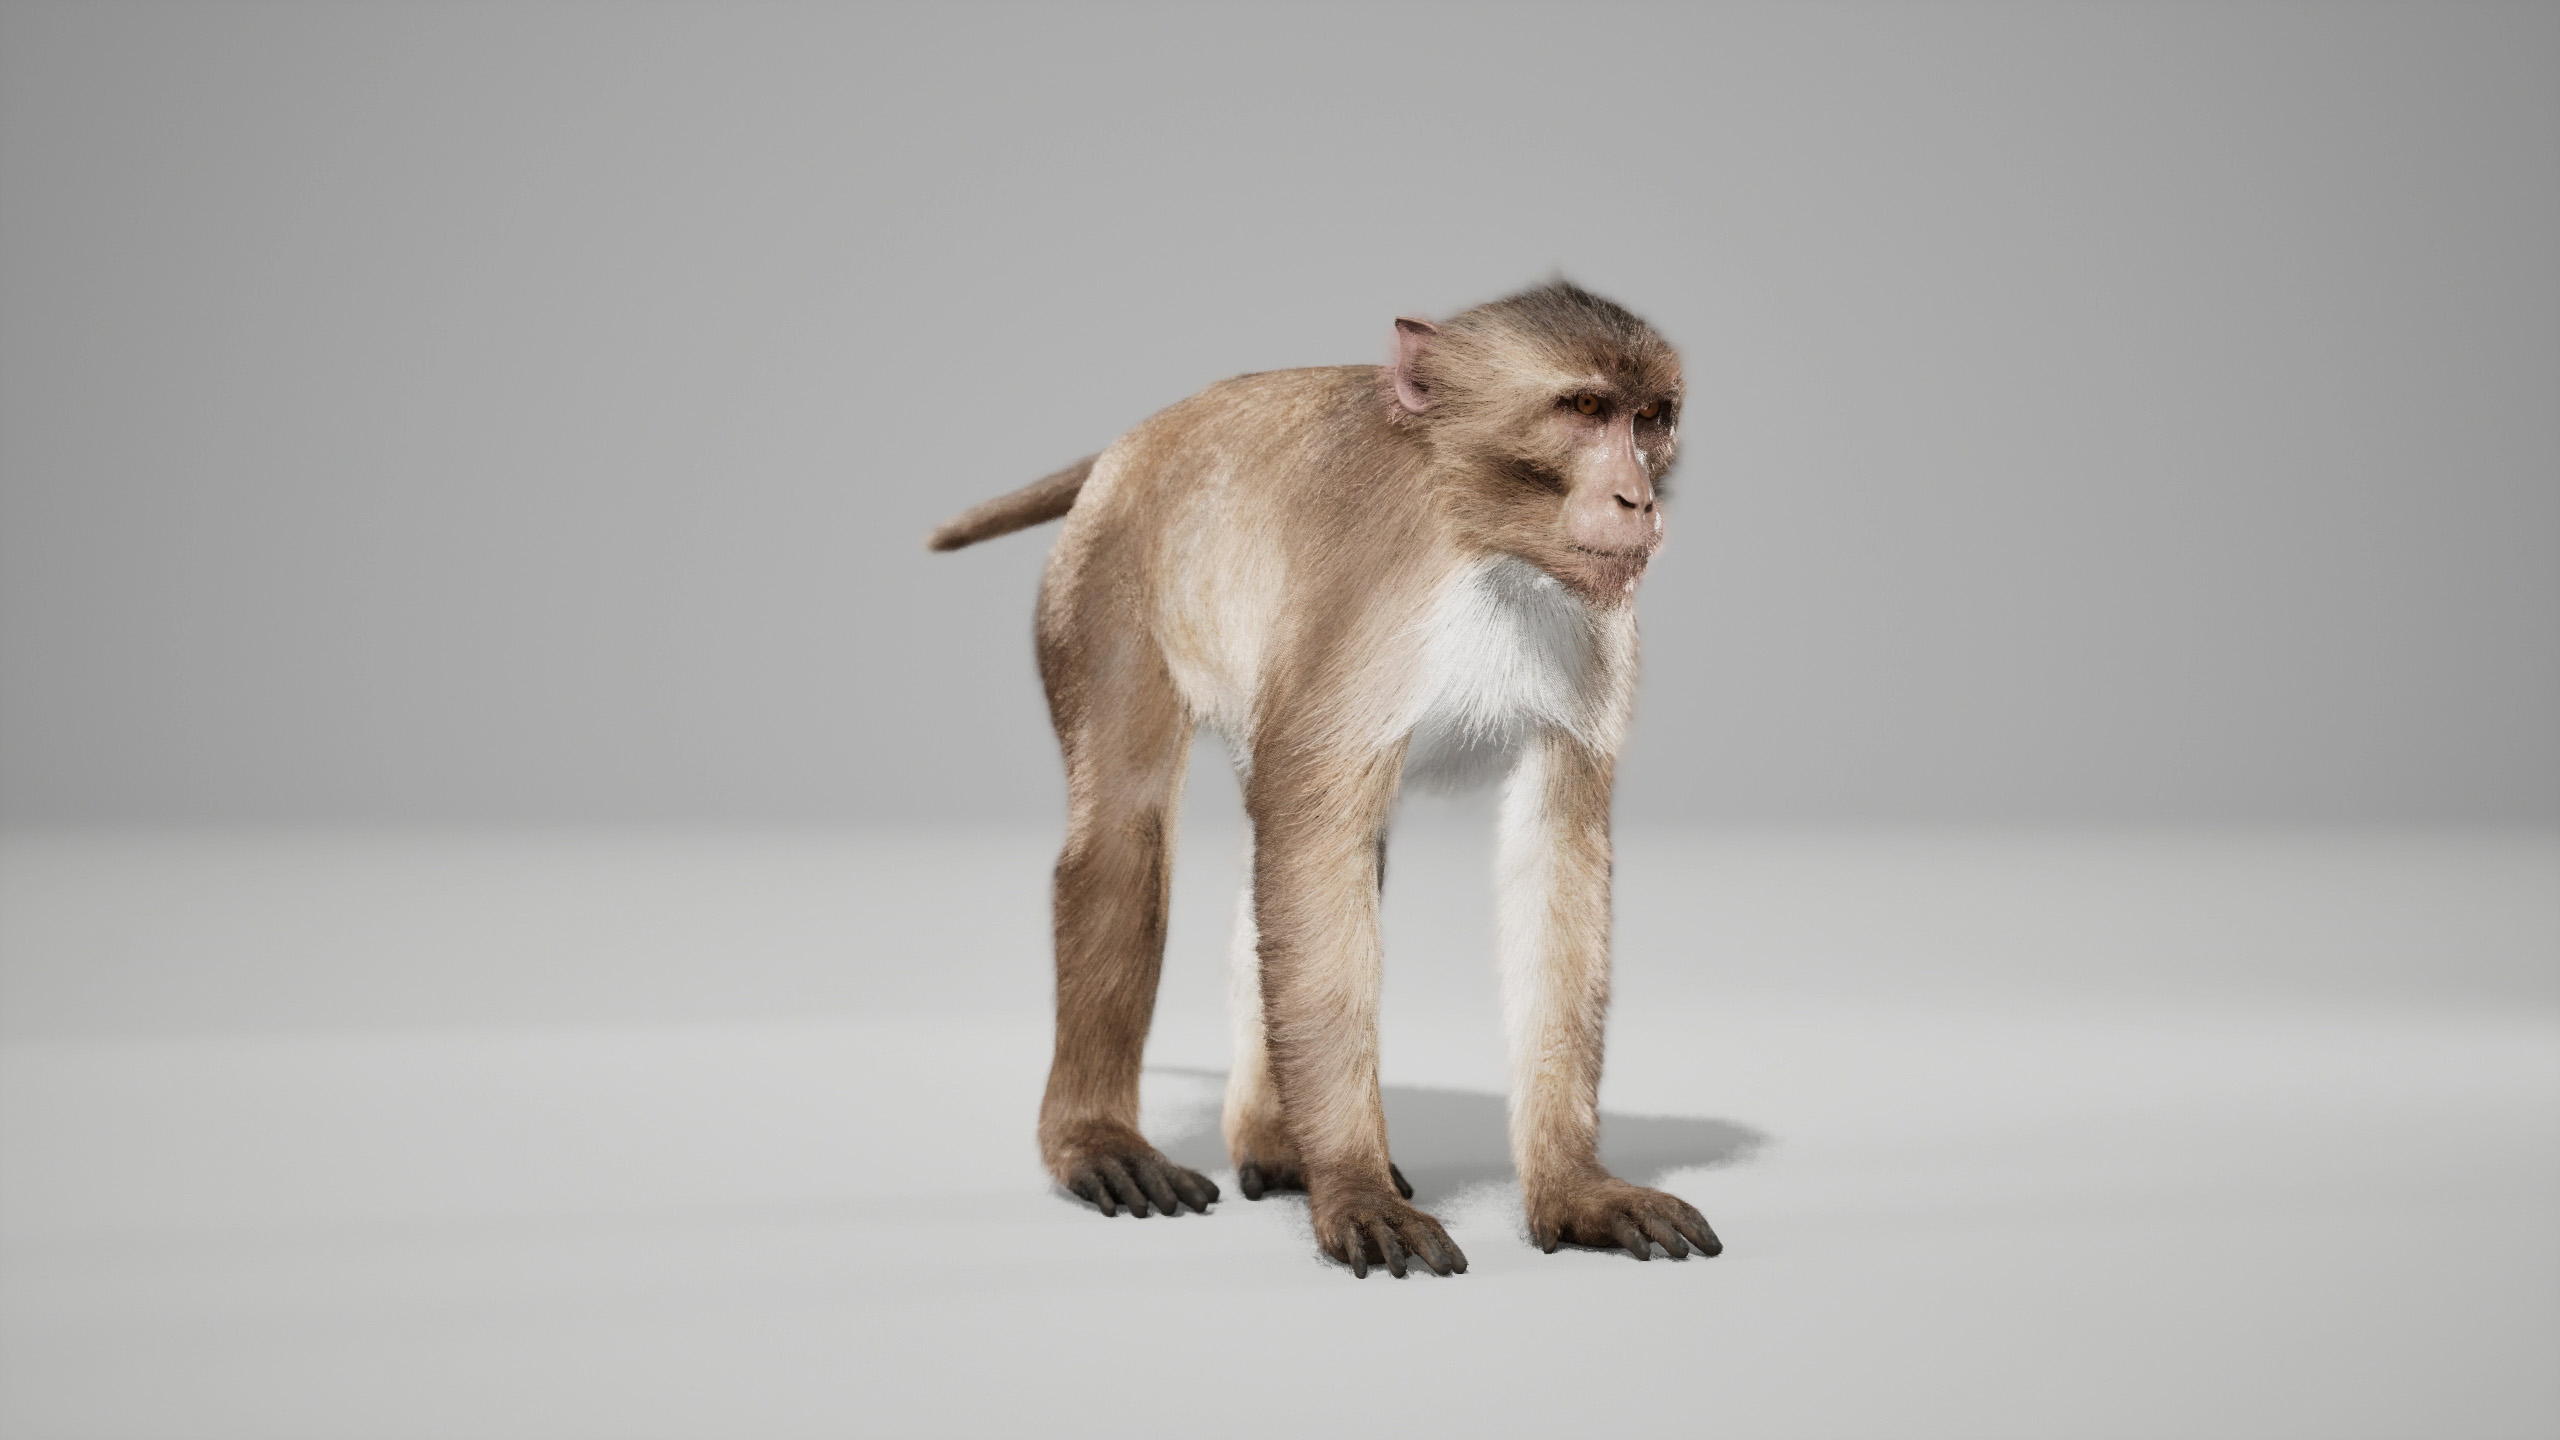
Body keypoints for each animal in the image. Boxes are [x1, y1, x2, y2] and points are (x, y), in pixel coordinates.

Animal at [928, 281, 1720, 1278]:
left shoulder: (1587, 638)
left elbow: (1552, 858)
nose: (1636, 497)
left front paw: (1576, 1191)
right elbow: (1310, 840)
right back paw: (1098, 1142)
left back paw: (1273, 1142)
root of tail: (1137, 439)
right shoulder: (1367, 611)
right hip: (1103, 582)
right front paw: (1354, 1186)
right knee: (1127, 836)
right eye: (1583, 410)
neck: (1485, 545)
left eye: (1651, 419)